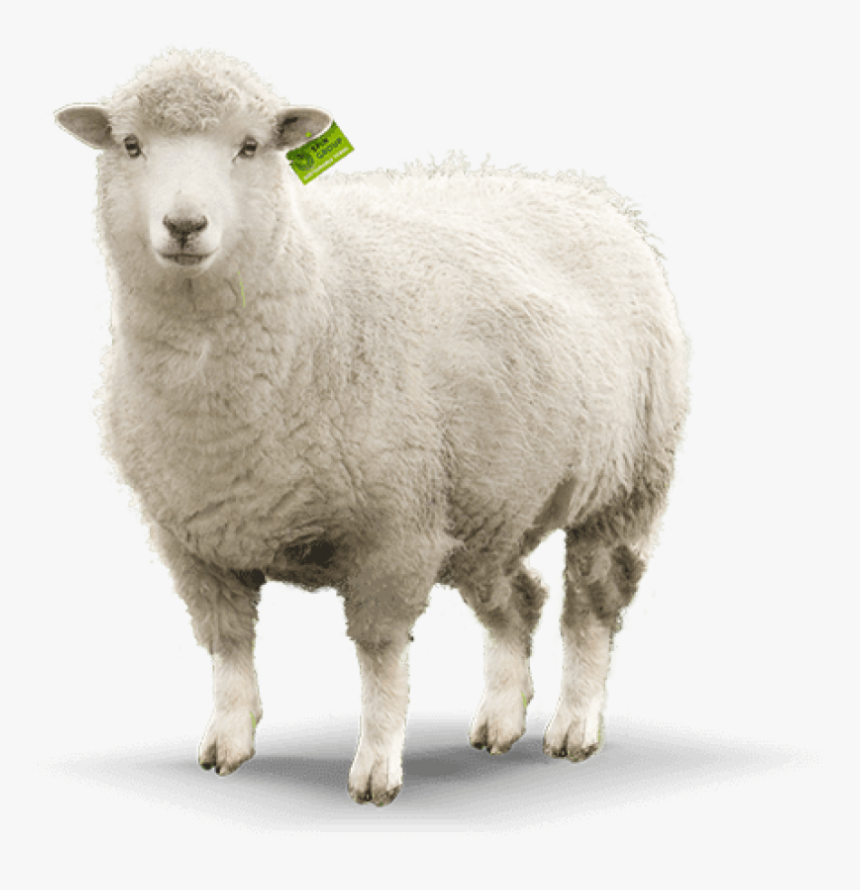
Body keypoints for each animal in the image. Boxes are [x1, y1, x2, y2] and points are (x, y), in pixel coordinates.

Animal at [55, 48, 689, 807]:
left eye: (250, 146)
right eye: (130, 144)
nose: (185, 225)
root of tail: (585, 195)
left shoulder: (393, 535)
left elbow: (381, 662)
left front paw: (378, 767)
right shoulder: (194, 543)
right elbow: (229, 650)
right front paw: (228, 741)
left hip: (625, 483)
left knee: (592, 607)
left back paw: (574, 725)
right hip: (483, 506)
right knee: (520, 601)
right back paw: (501, 720)